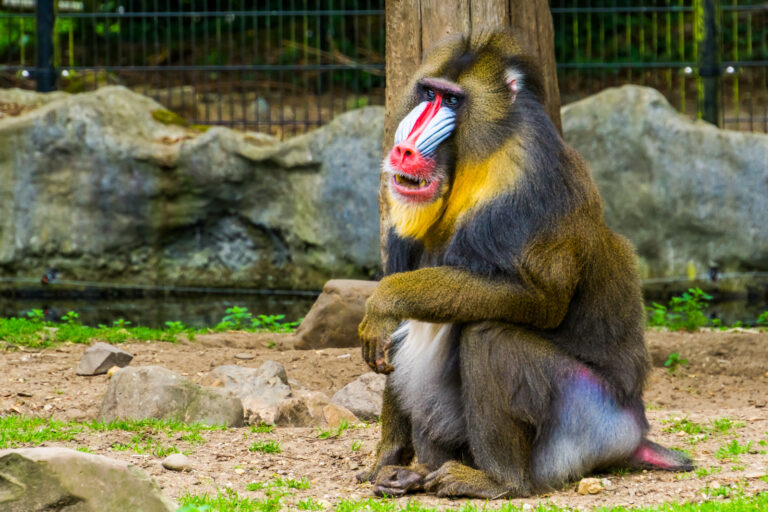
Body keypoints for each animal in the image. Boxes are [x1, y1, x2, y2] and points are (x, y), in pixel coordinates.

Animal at [357, 30, 693, 499]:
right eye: (428, 93)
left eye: (453, 101)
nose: (404, 151)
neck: (472, 162)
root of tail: (634, 432)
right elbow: (396, 323)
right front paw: (385, 462)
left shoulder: (524, 180)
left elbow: (537, 298)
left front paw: (383, 302)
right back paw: (417, 470)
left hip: (586, 418)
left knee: (488, 332)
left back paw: (497, 480)